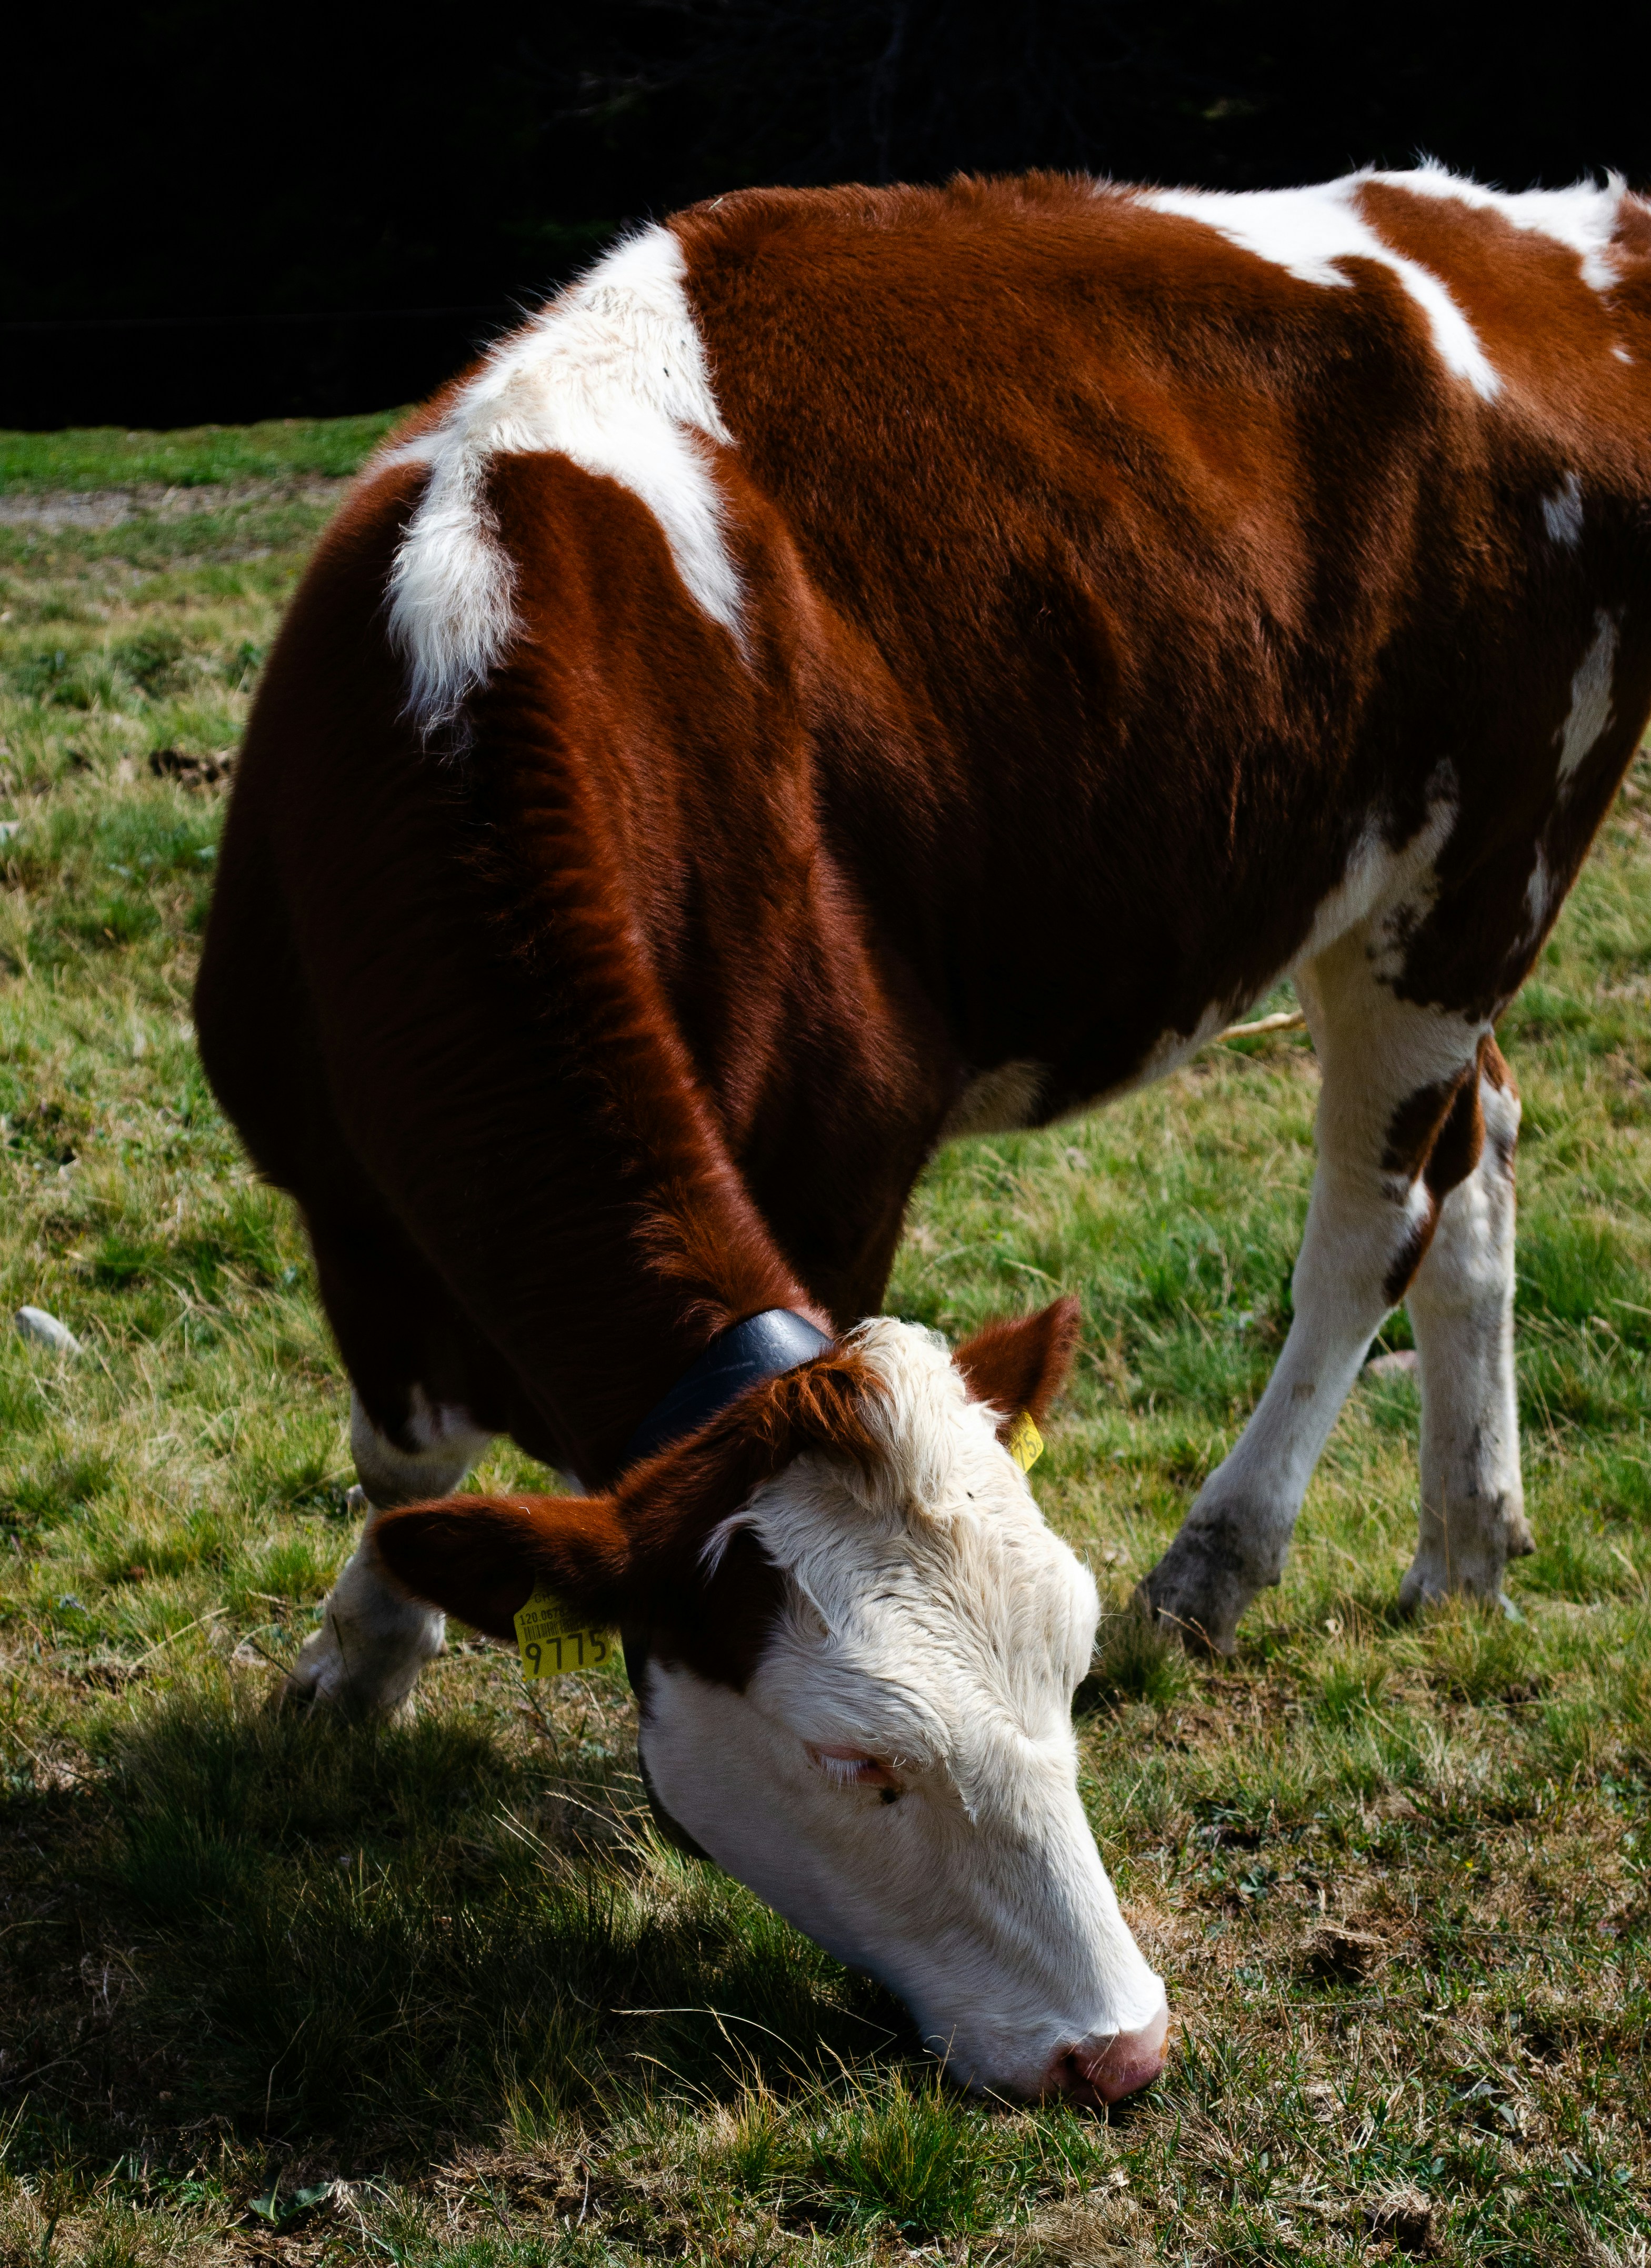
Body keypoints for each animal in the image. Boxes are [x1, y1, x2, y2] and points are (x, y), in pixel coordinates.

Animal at [194, 164, 1651, 2108]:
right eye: (854, 1761)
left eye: (1063, 1679)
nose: (1117, 2047)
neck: (467, 656)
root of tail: (1530, 228)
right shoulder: (335, 1186)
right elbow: (403, 1450)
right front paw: (356, 1656)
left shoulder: (836, 1154)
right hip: (1423, 905)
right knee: (1472, 1155)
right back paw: (1466, 1540)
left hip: (1486, 861)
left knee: (1369, 1225)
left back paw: (1223, 1556)